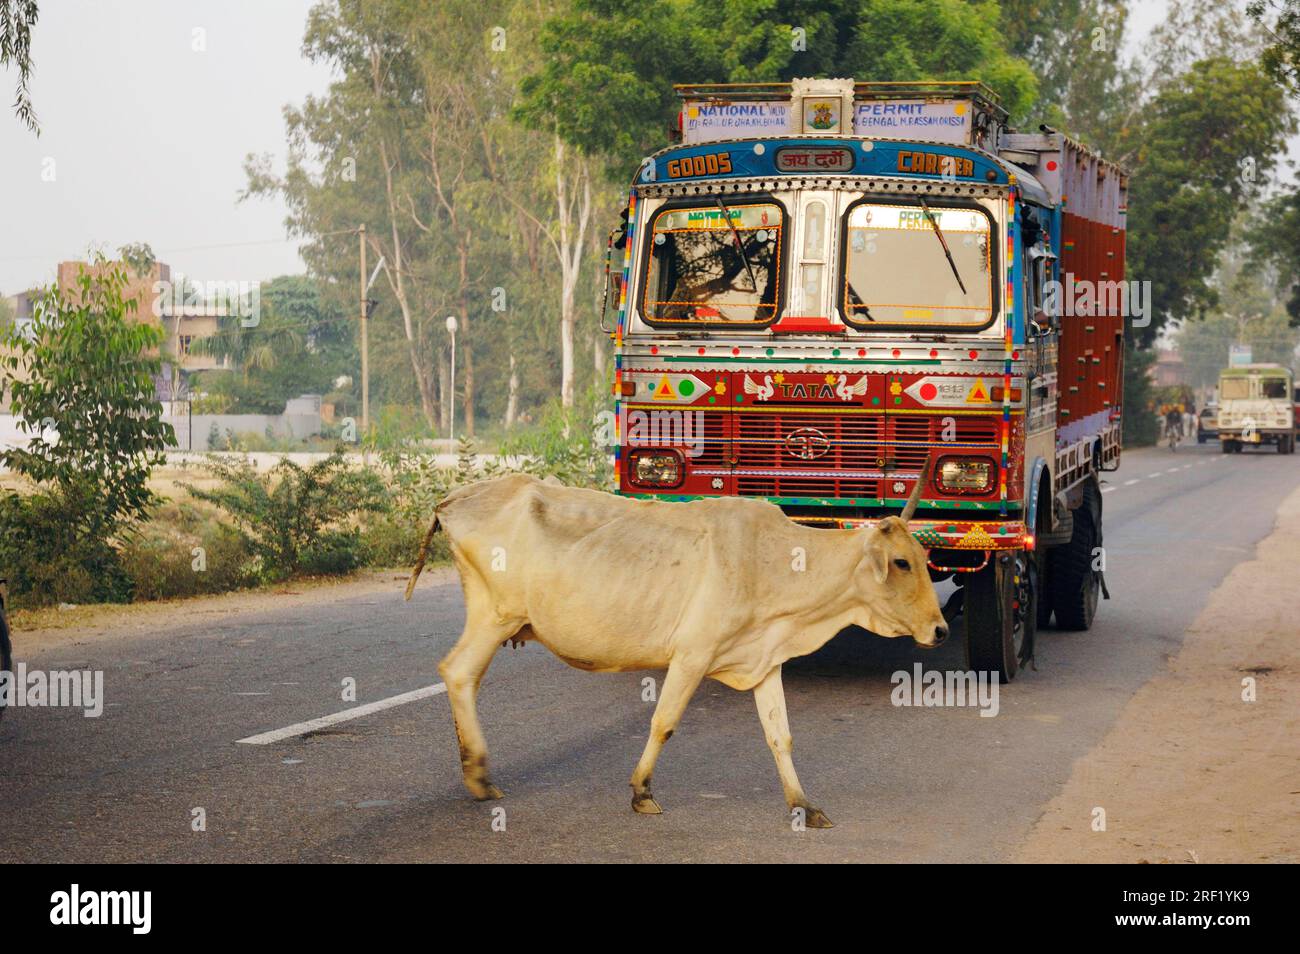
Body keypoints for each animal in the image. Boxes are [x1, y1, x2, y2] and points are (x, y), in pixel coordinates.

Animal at [404, 464, 946, 828]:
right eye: (901, 562)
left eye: (923, 559)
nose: (939, 630)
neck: (776, 563)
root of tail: (453, 499)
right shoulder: (692, 655)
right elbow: (663, 723)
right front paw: (641, 791)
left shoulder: (764, 660)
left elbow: (780, 736)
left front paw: (803, 804)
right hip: (494, 616)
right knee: (459, 672)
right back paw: (478, 776)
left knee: (460, 674)